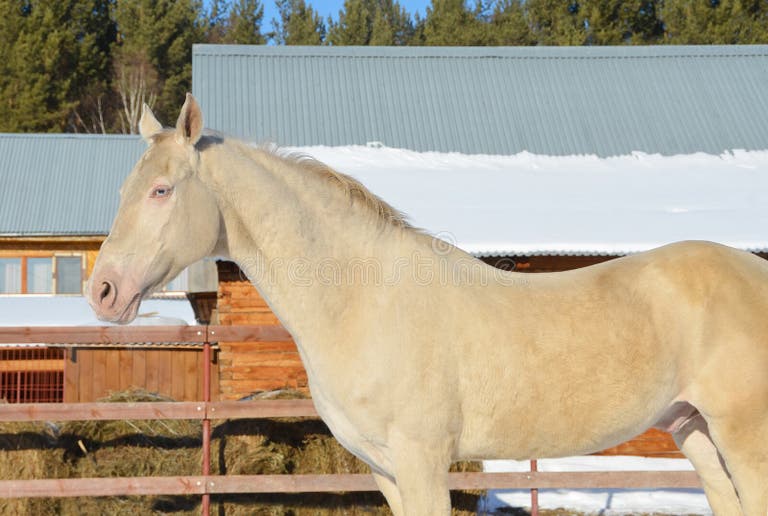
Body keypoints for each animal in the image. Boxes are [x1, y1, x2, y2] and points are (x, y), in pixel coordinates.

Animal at [88, 94, 768, 516]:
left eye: (161, 190)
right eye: (121, 190)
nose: (103, 291)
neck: (364, 301)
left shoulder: (423, 461)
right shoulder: (388, 472)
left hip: (743, 439)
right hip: (694, 431)